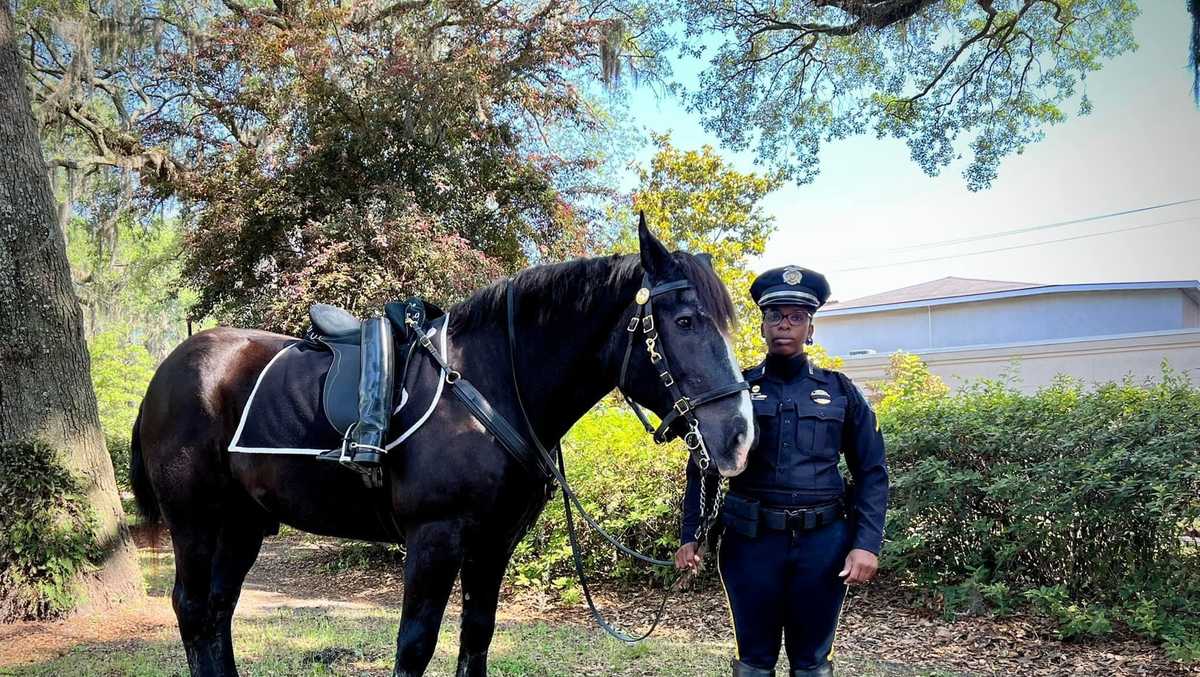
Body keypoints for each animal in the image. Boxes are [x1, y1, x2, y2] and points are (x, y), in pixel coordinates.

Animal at [129, 220, 755, 676]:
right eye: (685, 320)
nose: (739, 435)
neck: (489, 386)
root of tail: (170, 370)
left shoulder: (494, 543)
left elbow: (476, 638)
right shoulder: (435, 539)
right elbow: (415, 645)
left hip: (241, 524)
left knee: (217, 610)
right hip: (194, 520)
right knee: (192, 609)